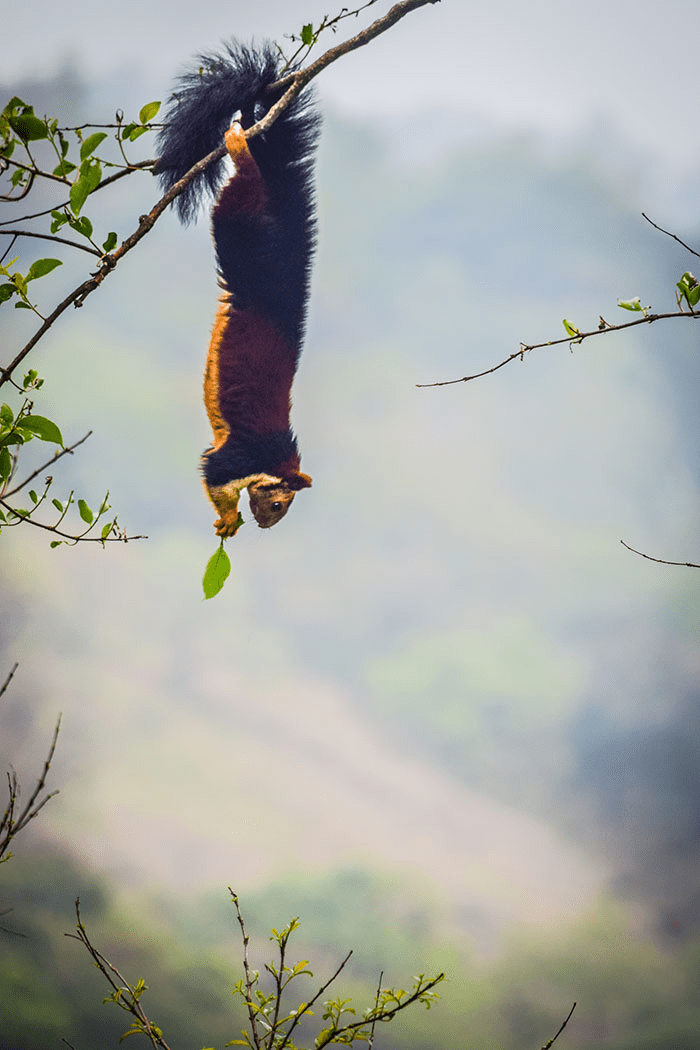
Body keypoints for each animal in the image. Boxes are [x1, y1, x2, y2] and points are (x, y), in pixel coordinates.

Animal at [156, 42, 320, 537]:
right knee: (240, 188)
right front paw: (228, 522)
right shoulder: (243, 454)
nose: (267, 526)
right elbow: (215, 473)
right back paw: (238, 144)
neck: (276, 460)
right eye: (279, 503)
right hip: (240, 224)